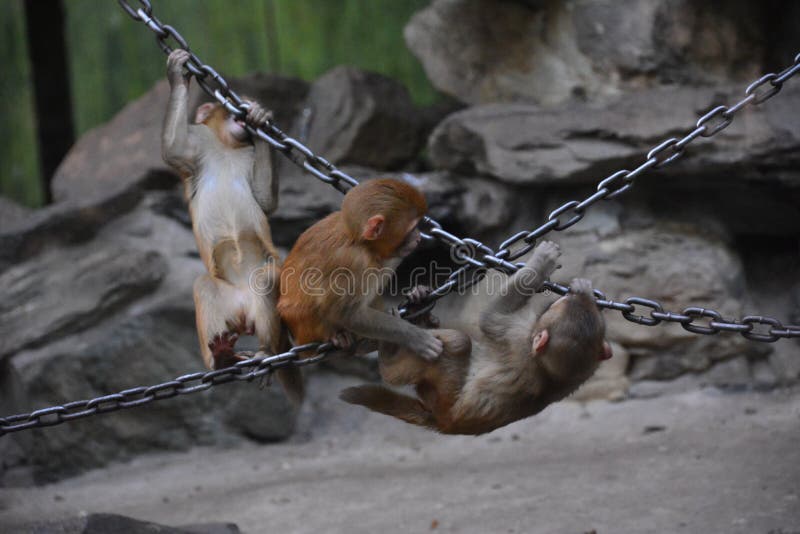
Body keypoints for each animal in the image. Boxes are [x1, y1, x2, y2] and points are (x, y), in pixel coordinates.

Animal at [162, 49, 302, 403]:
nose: (247, 109)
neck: (227, 145)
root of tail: (242, 309)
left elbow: (265, 200)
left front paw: (261, 118)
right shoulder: (197, 143)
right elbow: (173, 150)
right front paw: (177, 74)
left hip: (260, 298)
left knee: (267, 279)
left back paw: (265, 351)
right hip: (224, 300)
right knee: (204, 287)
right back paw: (221, 358)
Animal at [277, 178, 444, 361]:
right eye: (412, 228)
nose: (419, 237)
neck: (359, 241)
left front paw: (417, 296)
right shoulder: (354, 261)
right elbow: (346, 314)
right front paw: (413, 336)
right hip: (304, 328)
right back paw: (339, 338)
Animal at [339, 241, 614, 435]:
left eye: (558, 306)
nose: (573, 295)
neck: (552, 372)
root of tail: (443, 420)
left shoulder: (516, 335)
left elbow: (490, 318)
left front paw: (541, 261)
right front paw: (582, 287)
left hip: (441, 393)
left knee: (457, 341)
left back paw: (387, 354)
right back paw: (418, 308)